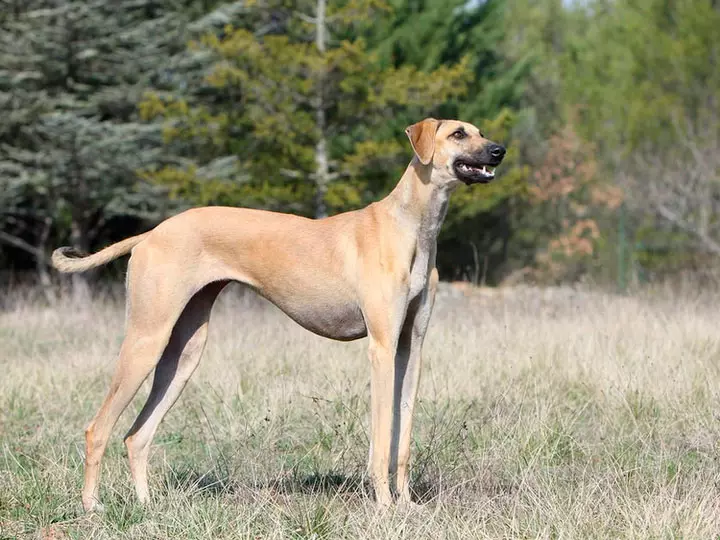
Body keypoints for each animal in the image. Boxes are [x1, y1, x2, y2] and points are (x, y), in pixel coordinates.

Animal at [52, 118, 506, 510]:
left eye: (480, 131)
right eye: (459, 133)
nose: (499, 150)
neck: (411, 226)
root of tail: (152, 233)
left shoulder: (410, 349)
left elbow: (403, 437)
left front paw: (407, 504)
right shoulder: (381, 347)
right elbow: (381, 440)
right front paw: (383, 507)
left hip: (183, 353)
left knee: (137, 436)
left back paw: (147, 507)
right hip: (146, 340)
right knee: (98, 429)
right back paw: (92, 507)